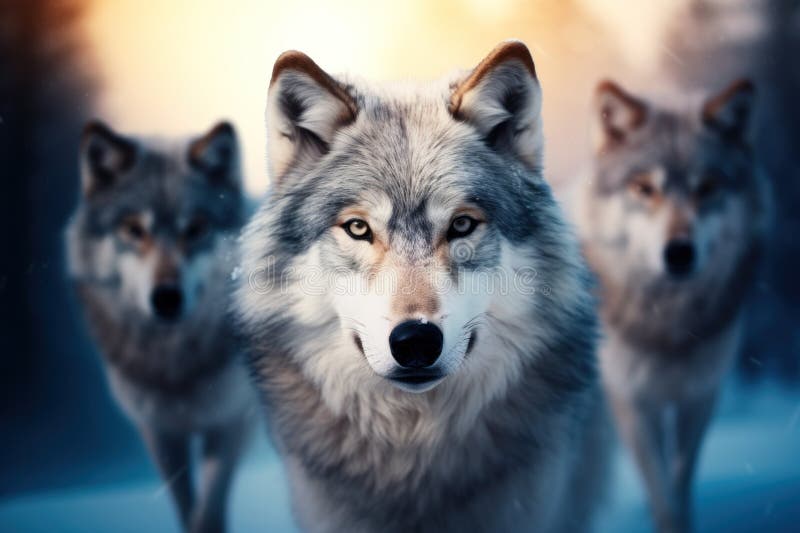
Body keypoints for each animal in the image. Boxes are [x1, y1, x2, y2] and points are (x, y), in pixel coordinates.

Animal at [66, 120, 255, 533]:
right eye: (134, 229)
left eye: (196, 228)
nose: (166, 297)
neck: (175, 364)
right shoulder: (160, 431)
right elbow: (186, 506)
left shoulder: (230, 421)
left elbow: (208, 510)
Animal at [576, 79, 769, 532]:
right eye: (644, 188)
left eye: (707, 187)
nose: (679, 252)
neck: (668, 325)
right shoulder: (631, 401)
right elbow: (660, 486)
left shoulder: (698, 397)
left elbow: (678, 482)